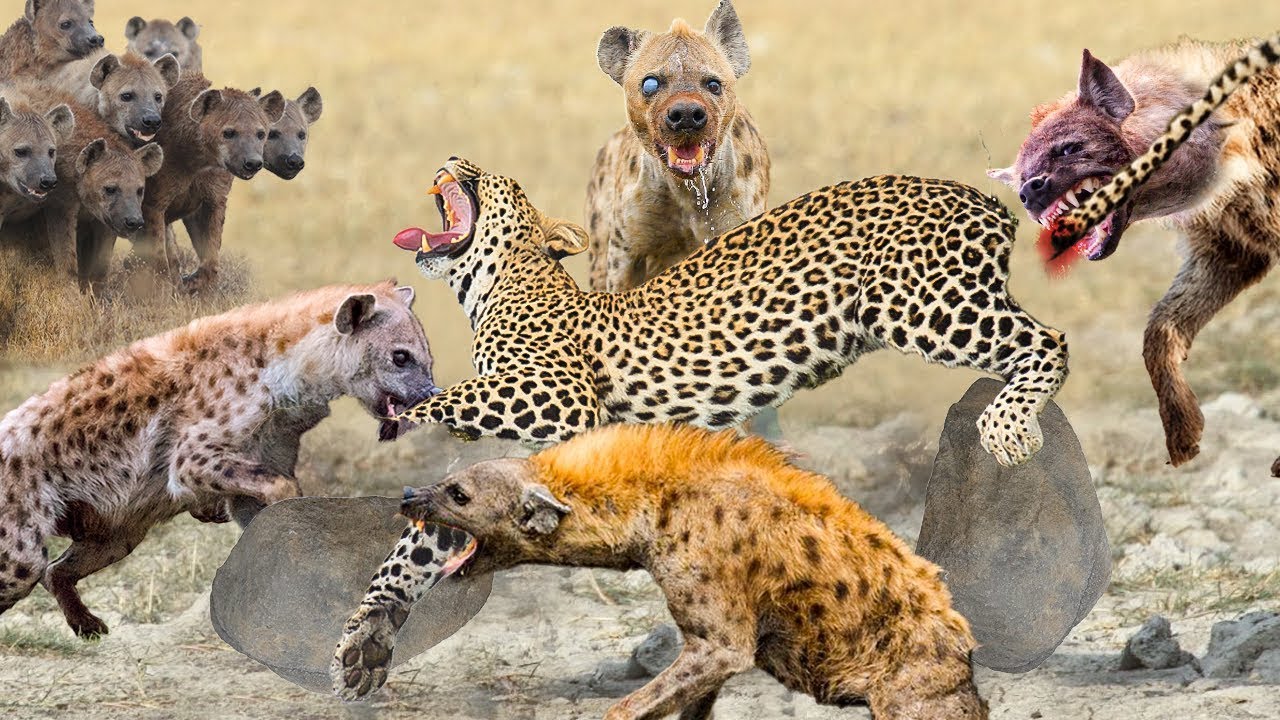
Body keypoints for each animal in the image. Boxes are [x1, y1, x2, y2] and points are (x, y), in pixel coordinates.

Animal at [385, 155, 1070, 468]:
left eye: (490, 175)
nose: (453, 158)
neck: (491, 286)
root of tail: (982, 200)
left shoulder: (562, 394)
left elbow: (447, 396)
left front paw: (395, 415)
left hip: (919, 302)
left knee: (1050, 341)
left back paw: (1009, 429)